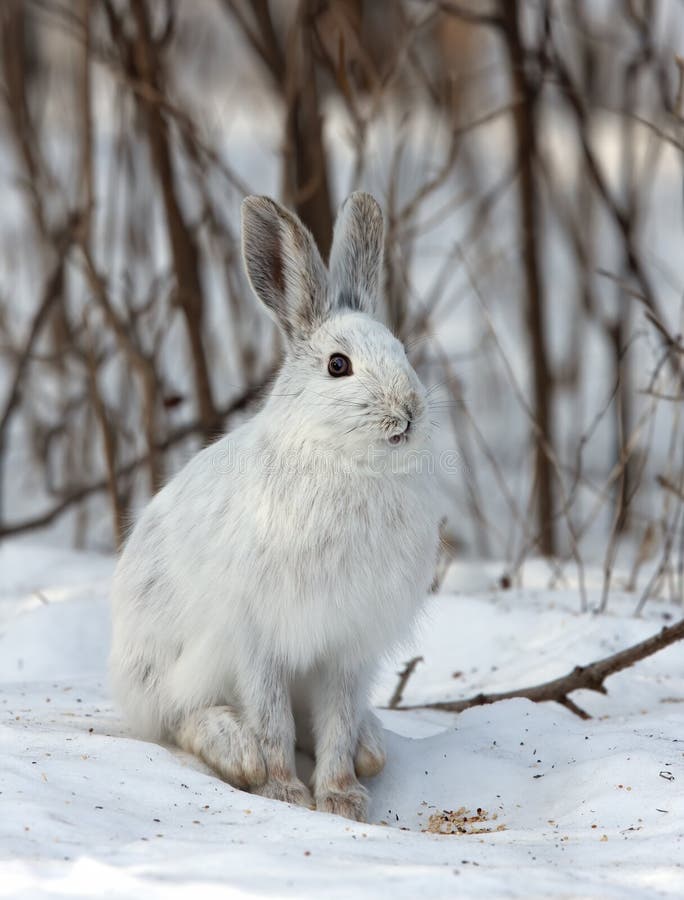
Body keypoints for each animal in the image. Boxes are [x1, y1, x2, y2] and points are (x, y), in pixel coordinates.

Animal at [110, 191, 441, 822]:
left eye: (403, 351)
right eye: (338, 365)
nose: (408, 412)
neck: (345, 464)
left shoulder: (345, 647)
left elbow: (336, 724)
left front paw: (341, 801)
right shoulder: (257, 638)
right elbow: (271, 722)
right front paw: (284, 793)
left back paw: (370, 748)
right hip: (175, 668)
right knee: (181, 718)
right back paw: (237, 752)